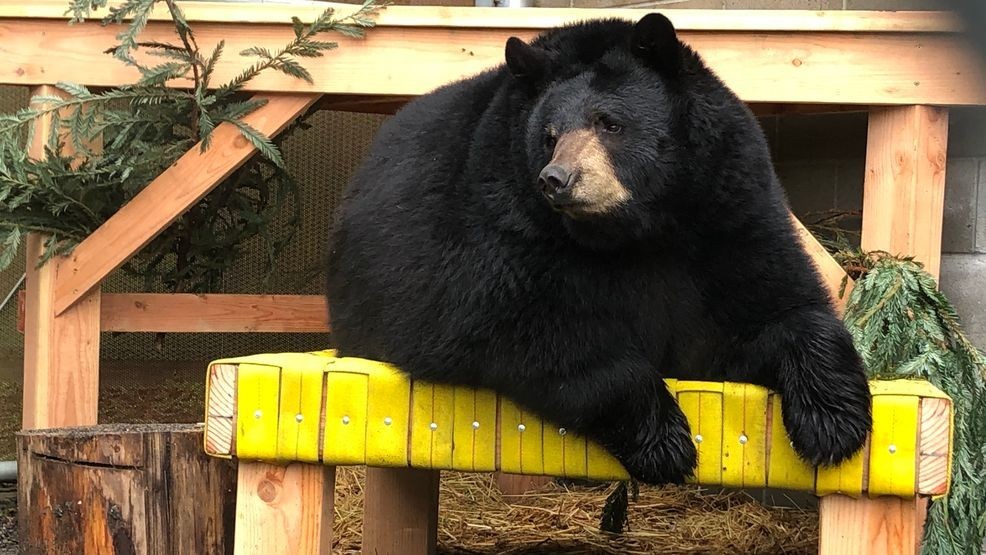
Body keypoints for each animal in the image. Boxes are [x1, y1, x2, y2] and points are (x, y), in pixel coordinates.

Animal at [325, 12, 872, 485]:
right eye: (549, 136)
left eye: (609, 123)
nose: (556, 179)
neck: (636, 232)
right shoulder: (502, 231)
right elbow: (526, 332)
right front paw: (665, 441)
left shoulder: (725, 212)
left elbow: (769, 308)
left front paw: (833, 422)